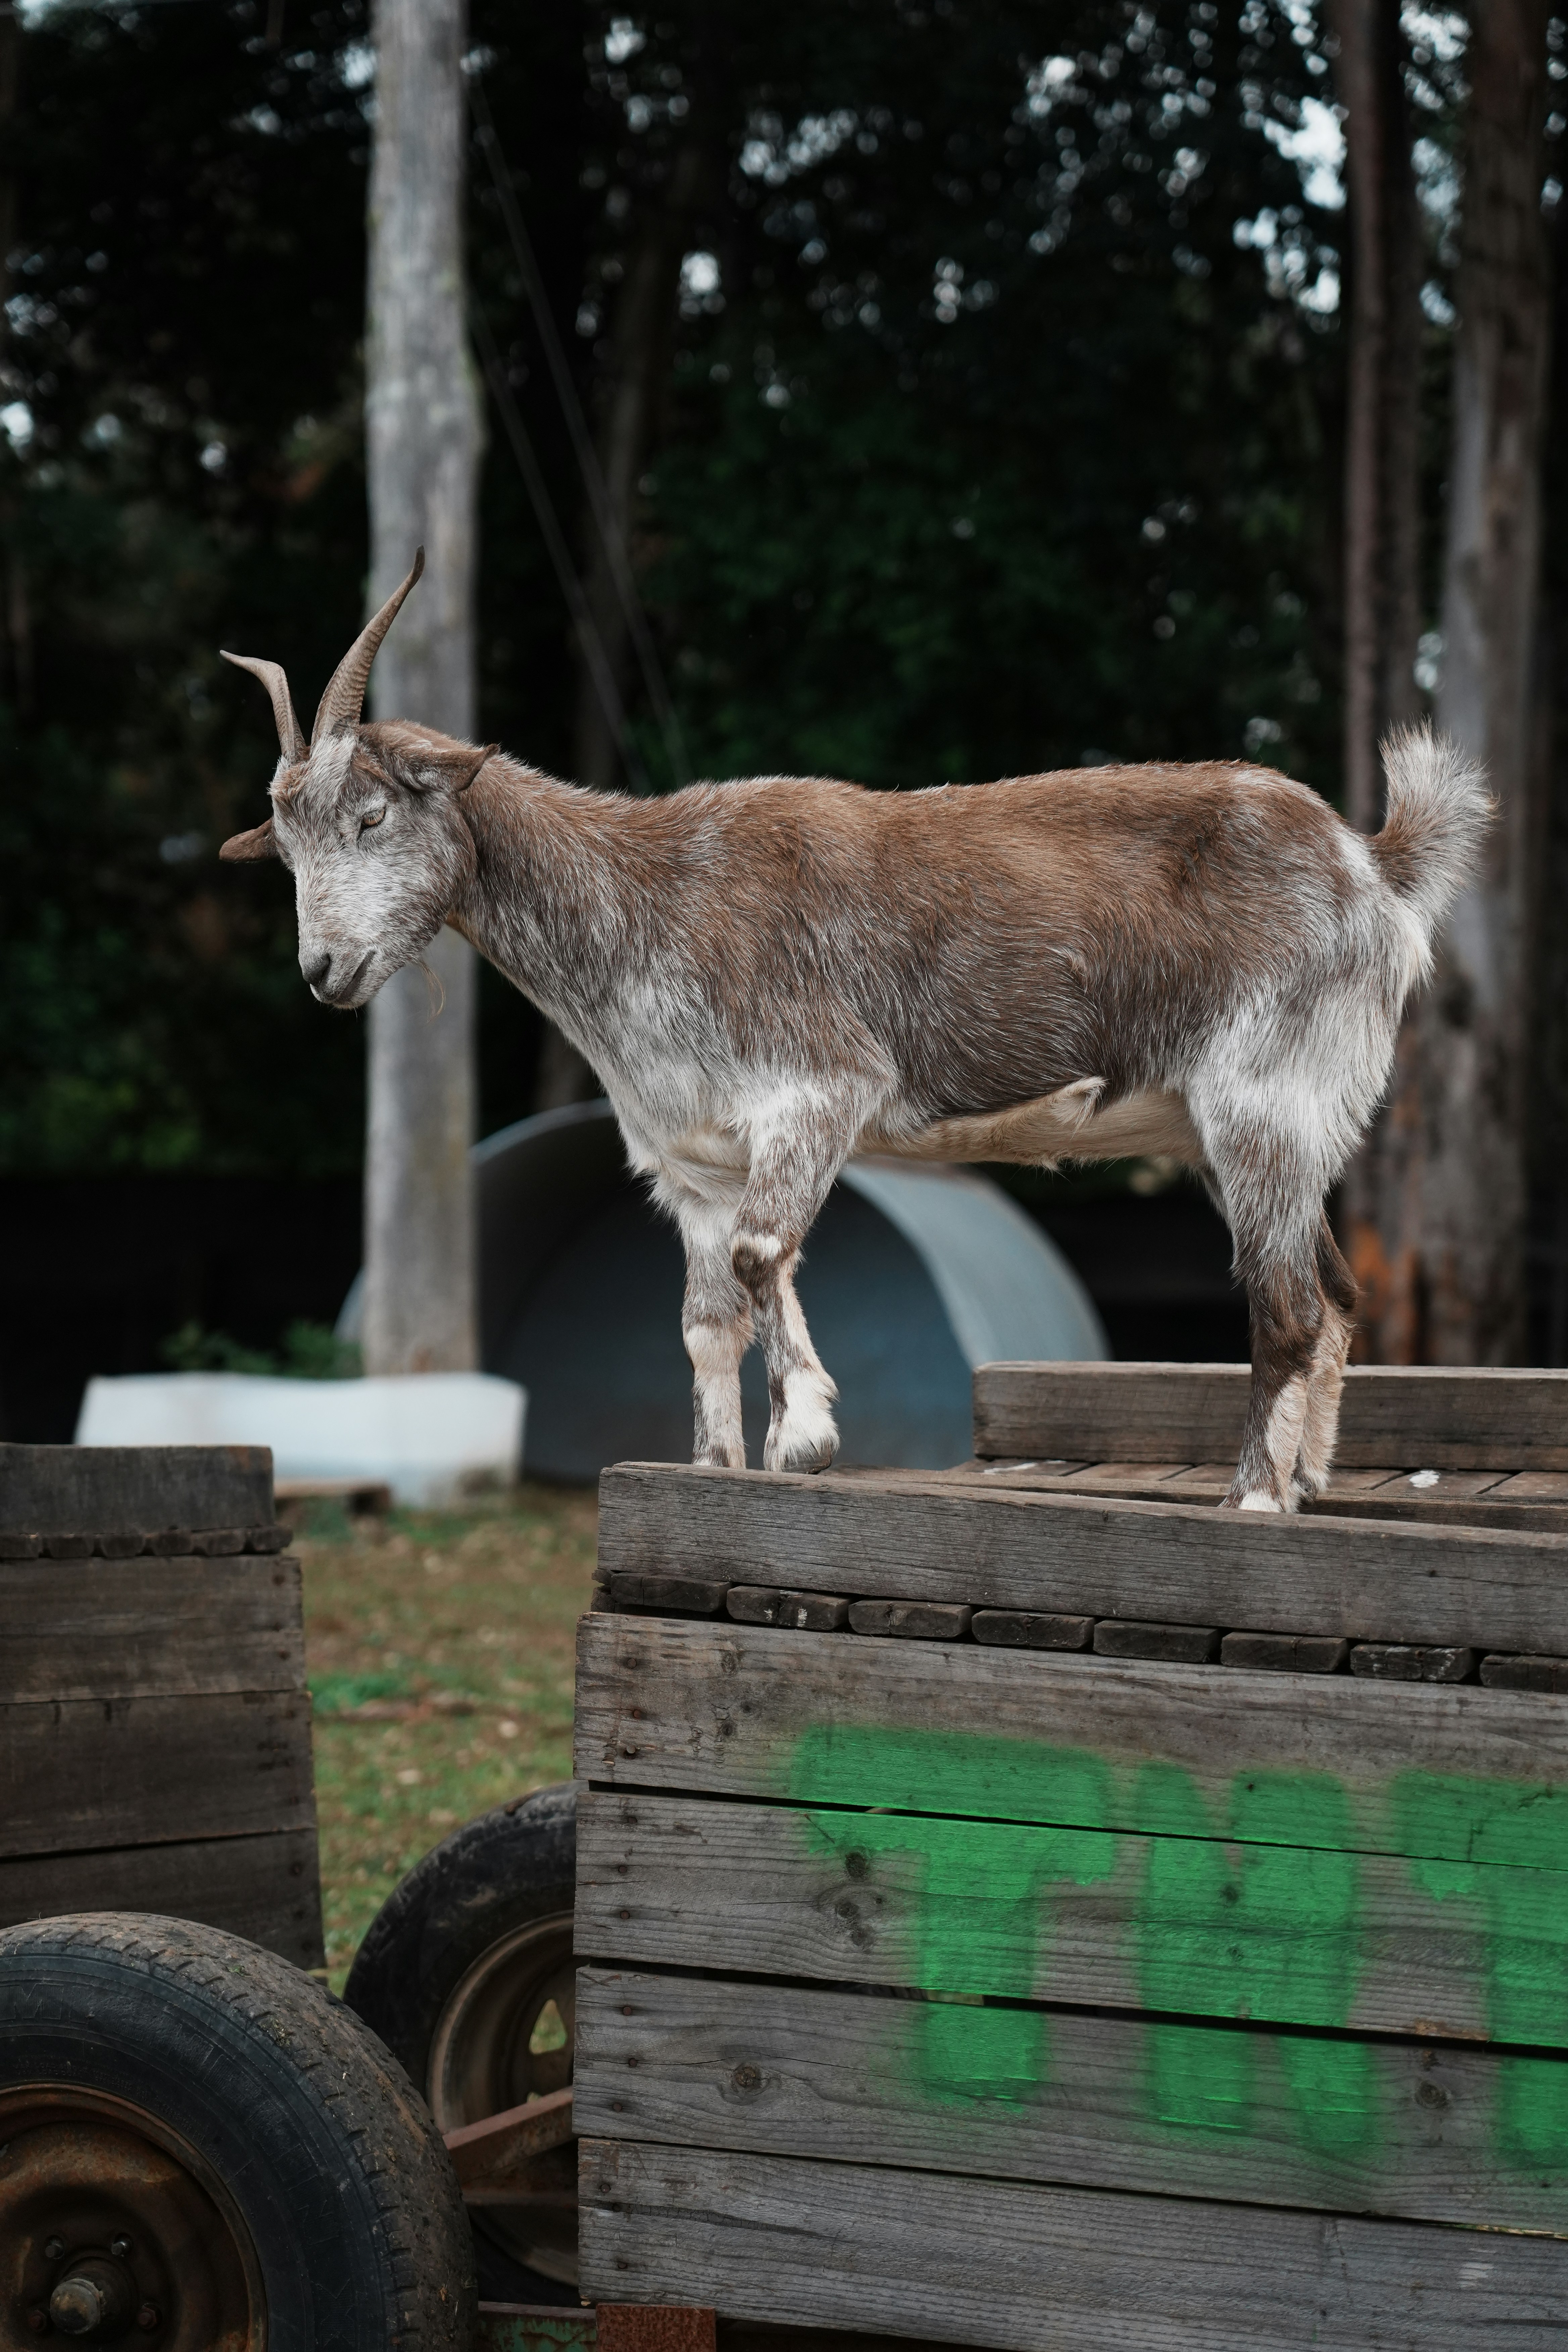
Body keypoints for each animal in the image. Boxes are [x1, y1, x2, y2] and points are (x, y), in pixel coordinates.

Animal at [220, 552, 1488, 1509]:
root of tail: (1371, 866)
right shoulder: (690, 1161)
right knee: (1335, 1295)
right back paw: (1308, 1480)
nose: (326, 971)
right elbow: (704, 1316)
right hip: (1256, 1133)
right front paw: (714, 1465)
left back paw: (1256, 1499)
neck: (645, 897)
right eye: (282, 846)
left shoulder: (820, 1088)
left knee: (1286, 1305)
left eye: (372, 815)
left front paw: (808, 1436)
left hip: (1259, 1102)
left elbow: (761, 1254)